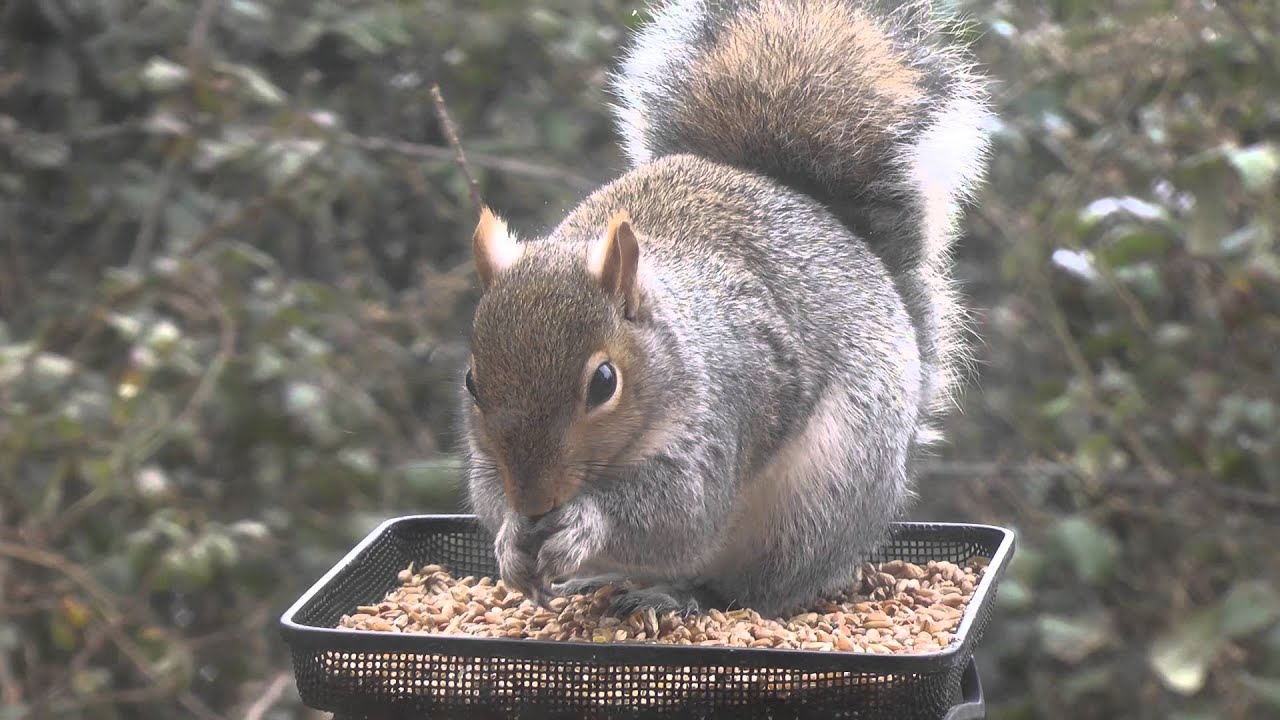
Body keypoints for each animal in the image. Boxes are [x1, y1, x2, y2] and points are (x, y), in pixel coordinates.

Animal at [459, 0, 993, 618]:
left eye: (604, 383)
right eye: (472, 382)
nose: (536, 500)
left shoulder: (723, 410)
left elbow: (682, 512)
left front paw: (583, 524)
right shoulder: (487, 457)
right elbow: (488, 496)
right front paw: (510, 541)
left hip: (817, 504)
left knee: (752, 589)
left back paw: (677, 593)